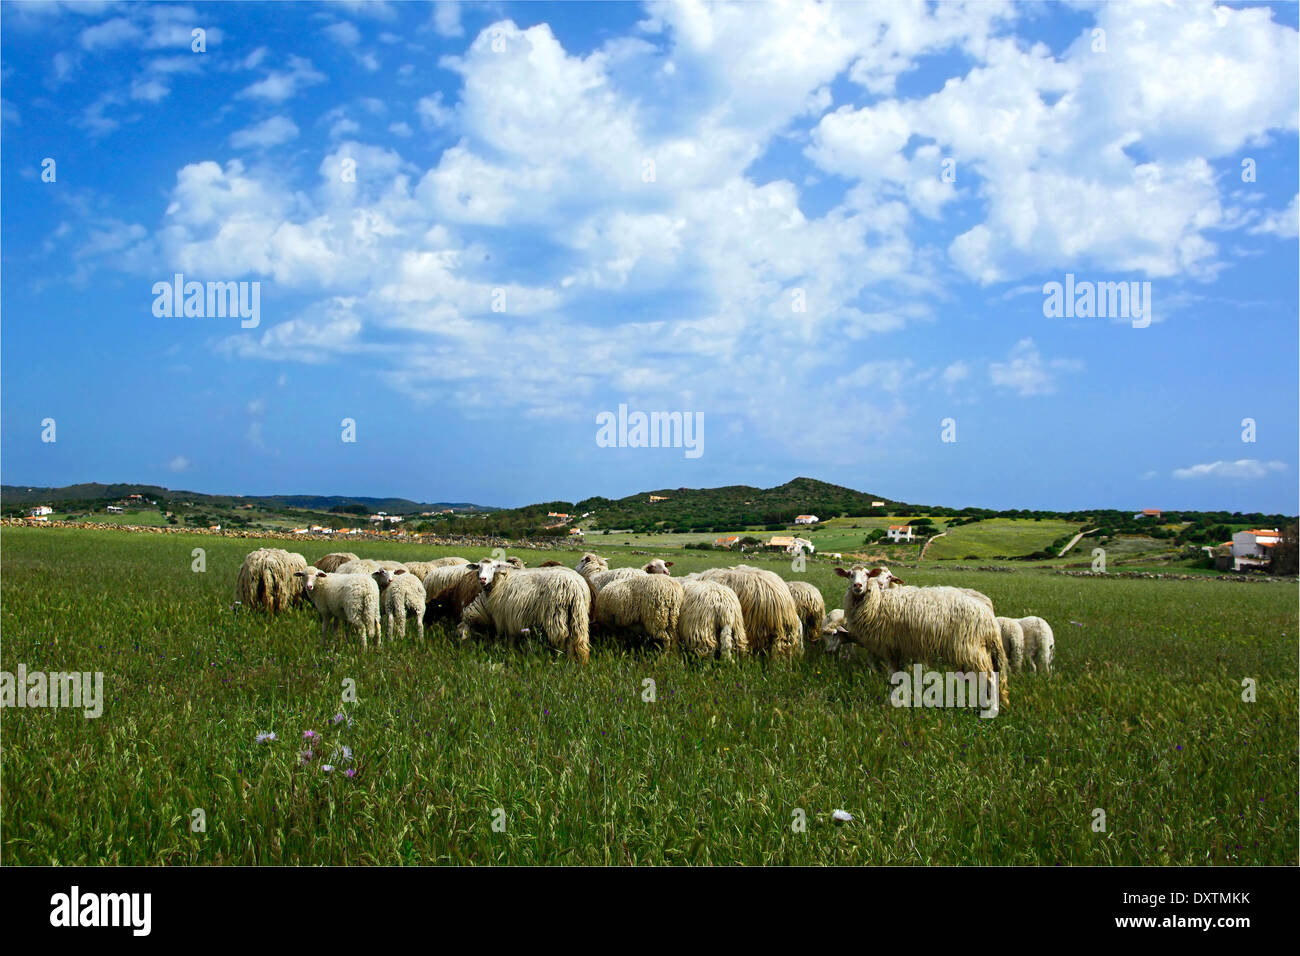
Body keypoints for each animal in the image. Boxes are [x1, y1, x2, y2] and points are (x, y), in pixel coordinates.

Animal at [461, 563, 591, 663]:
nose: (464, 650)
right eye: (478, 567)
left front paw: (508, 652)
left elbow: (509, 640)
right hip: (578, 616)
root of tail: (575, 586)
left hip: (555, 615)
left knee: (562, 638)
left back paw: (559, 659)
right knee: (576, 640)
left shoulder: (505, 619)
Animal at [835, 565, 1008, 708]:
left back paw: (992, 708)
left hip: (971, 648)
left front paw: (890, 702)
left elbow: (892, 677)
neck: (878, 603)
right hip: (981, 650)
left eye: (867, 574)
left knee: (991, 678)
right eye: (850, 575)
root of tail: (990, 621)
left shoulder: (890, 647)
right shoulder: (899, 649)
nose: (858, 586)